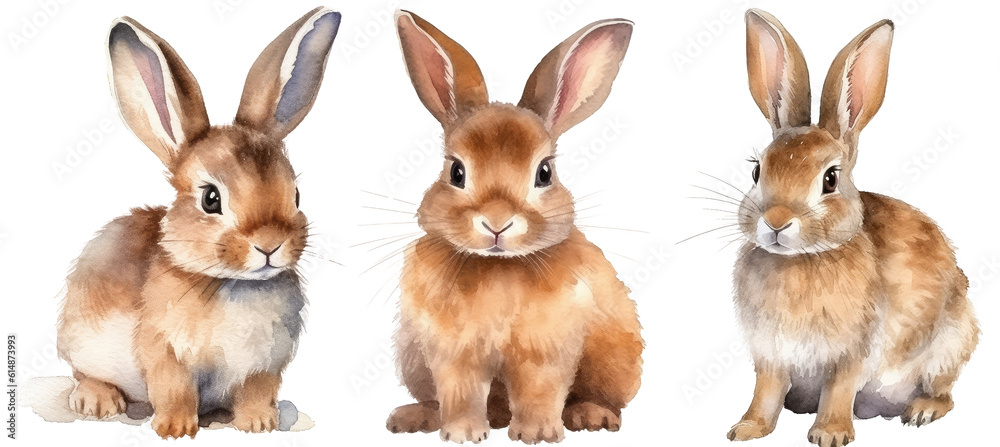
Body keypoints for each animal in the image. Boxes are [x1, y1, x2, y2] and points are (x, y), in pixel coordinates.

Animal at [55, 7, 340, 439]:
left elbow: (256, 392)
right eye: (210, 199)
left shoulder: (266, 365)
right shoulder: (164, 351)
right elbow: (174, 390)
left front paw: (259, 424)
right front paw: (175, 429)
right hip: (79, 339)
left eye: (295, 195)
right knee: (83, 373)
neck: (233, 284)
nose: (269, 243)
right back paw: (97, 400)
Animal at [384, 10, 643, 444]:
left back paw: (591, 416)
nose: (497, 223)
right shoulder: (453, 353)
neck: (498, 267)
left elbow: (541, 389)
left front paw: (536, 433)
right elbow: (460, 391)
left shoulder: (546, 351)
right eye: (456, 172)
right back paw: (413, 418)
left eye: (544, 173)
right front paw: (463, 434)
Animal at [727, 9, 980, 447]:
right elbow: (766, 390)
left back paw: (922, 411)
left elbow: (839, 389)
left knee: (944, 391)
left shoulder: (853, 352)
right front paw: (748, 428)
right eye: (757, 171)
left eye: (830, 179)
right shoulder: (771, 353)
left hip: (950, 344)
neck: (802, 260)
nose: (776, 221)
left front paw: (829, 434)